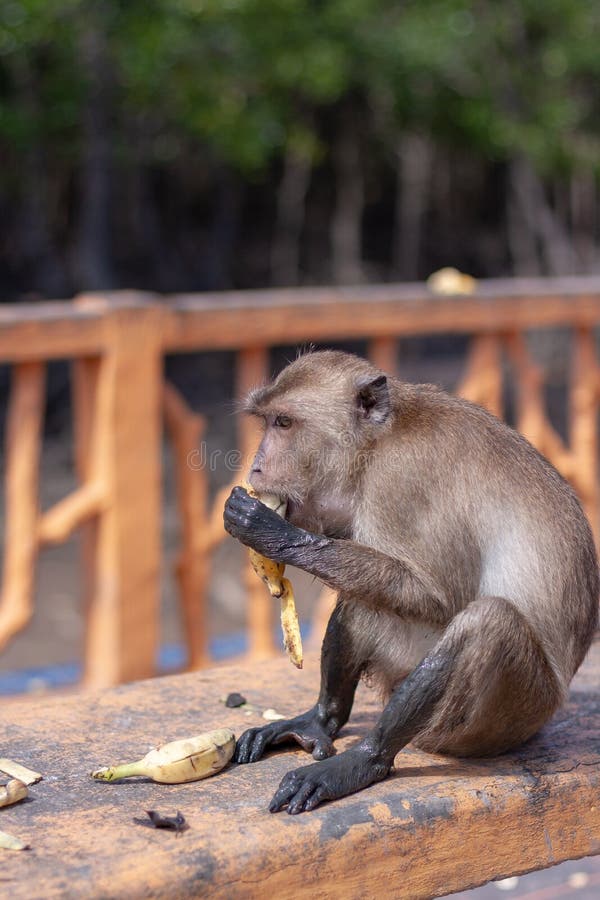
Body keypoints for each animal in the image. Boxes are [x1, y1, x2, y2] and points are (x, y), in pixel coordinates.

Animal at [223, 349, 599, 815]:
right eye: (269, 422)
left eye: (284, 423)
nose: (256, 466)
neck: (378, 443)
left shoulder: (402, 482)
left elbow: (438, 595)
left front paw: (273, 533)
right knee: (364, 598)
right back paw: (321, 719)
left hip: (509, 719)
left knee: (488, 621)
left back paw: (369, 759)